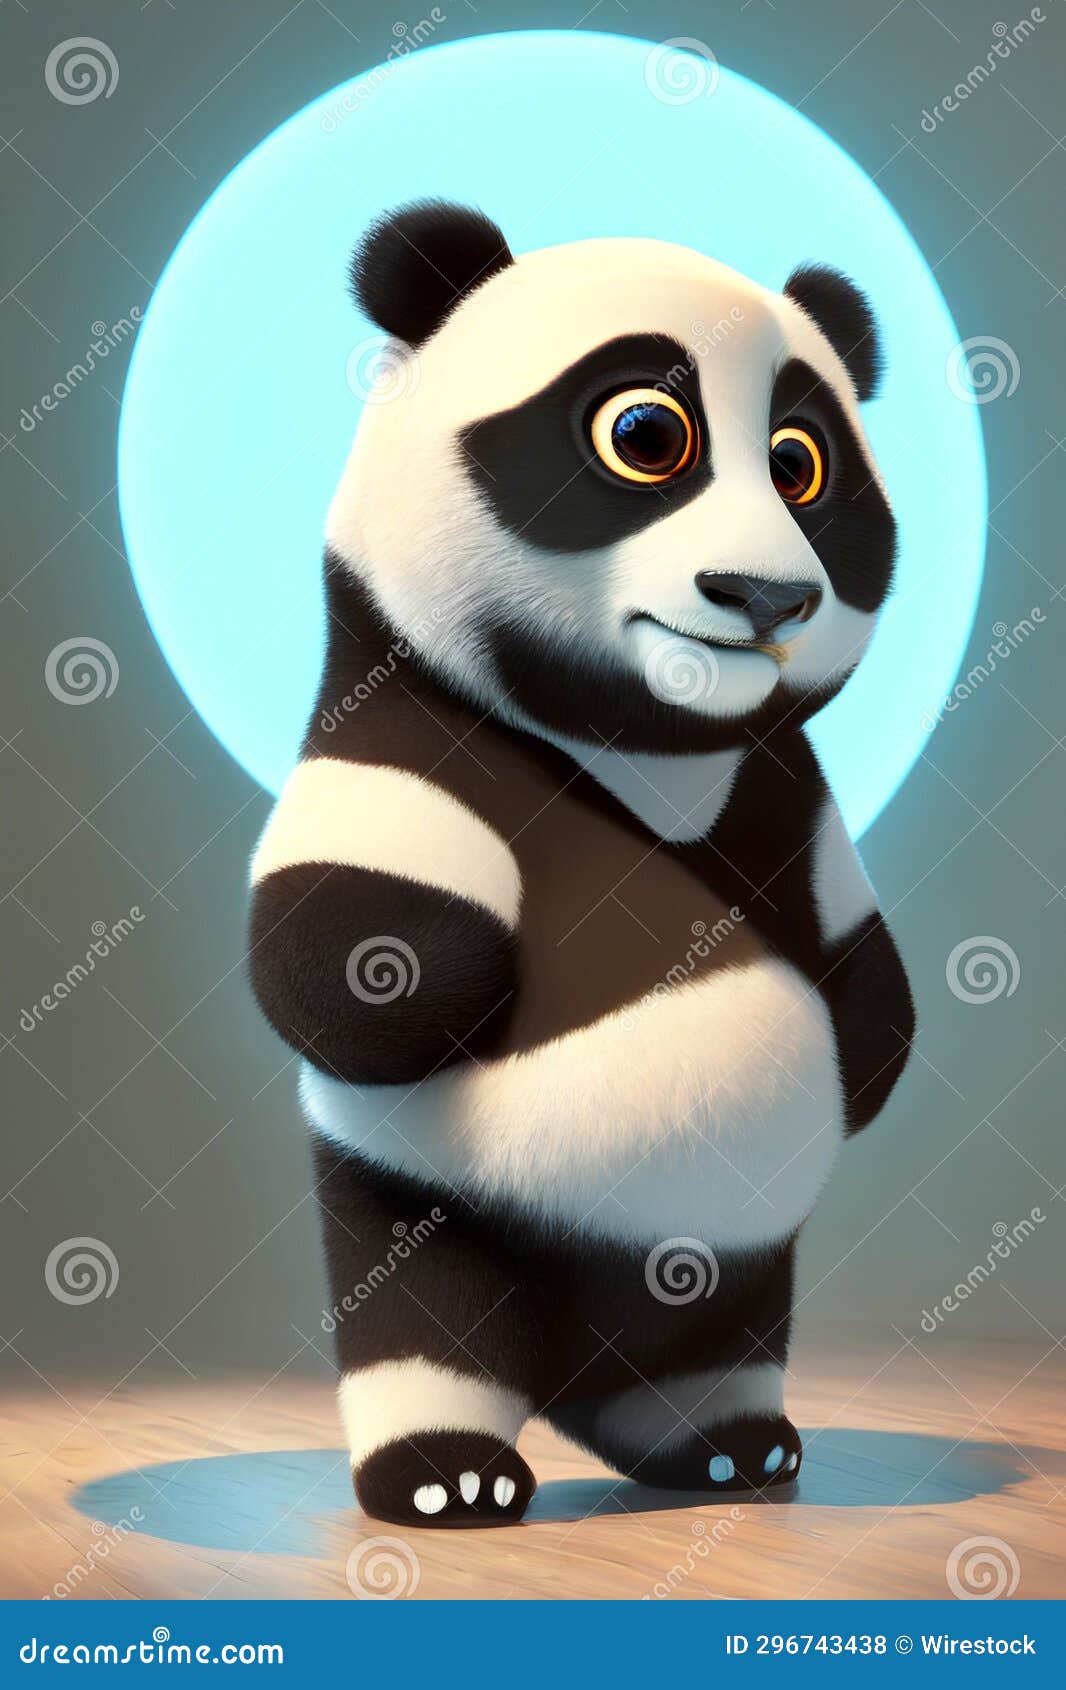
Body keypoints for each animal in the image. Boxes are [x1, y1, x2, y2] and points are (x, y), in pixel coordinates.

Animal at [247, 200, 913, 1528]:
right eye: (645, 435)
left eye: (802, 464)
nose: (765, 595)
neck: (648, 745)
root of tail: (571, 1389)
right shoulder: (392, 715)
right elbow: (347, 966)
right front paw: (456, 974)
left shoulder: (783, 781)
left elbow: (860, 963)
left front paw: (868, 1053)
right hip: (432, 1207)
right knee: (424, 1322)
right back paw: (446, 1474)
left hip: (741, 1271)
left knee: (717, 1346)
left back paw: (725, 1447)